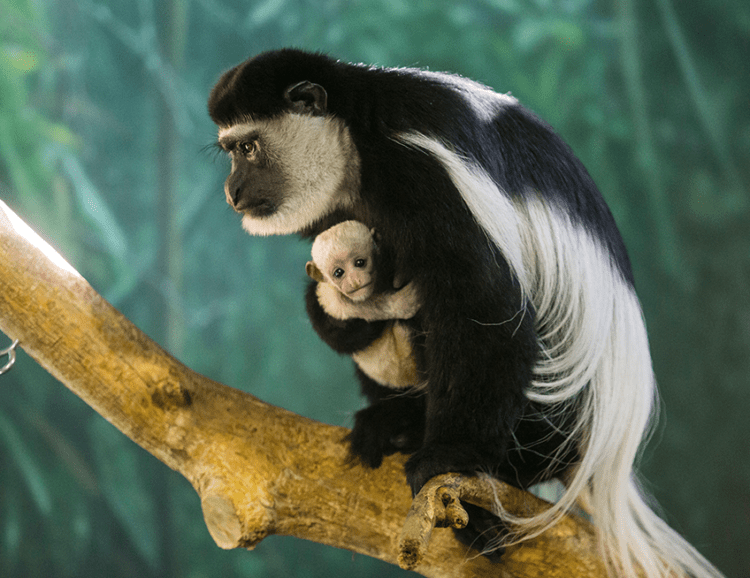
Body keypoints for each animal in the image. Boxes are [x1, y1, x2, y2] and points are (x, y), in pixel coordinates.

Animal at [208, 49, 723, 578]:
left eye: (247, 148)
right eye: (230, 150)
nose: (232, 191)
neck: (360, 138)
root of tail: (605, 449)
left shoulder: (425, 173)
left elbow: (484, 305)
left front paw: (445, 463)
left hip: (548, 413)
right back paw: (394, 422)